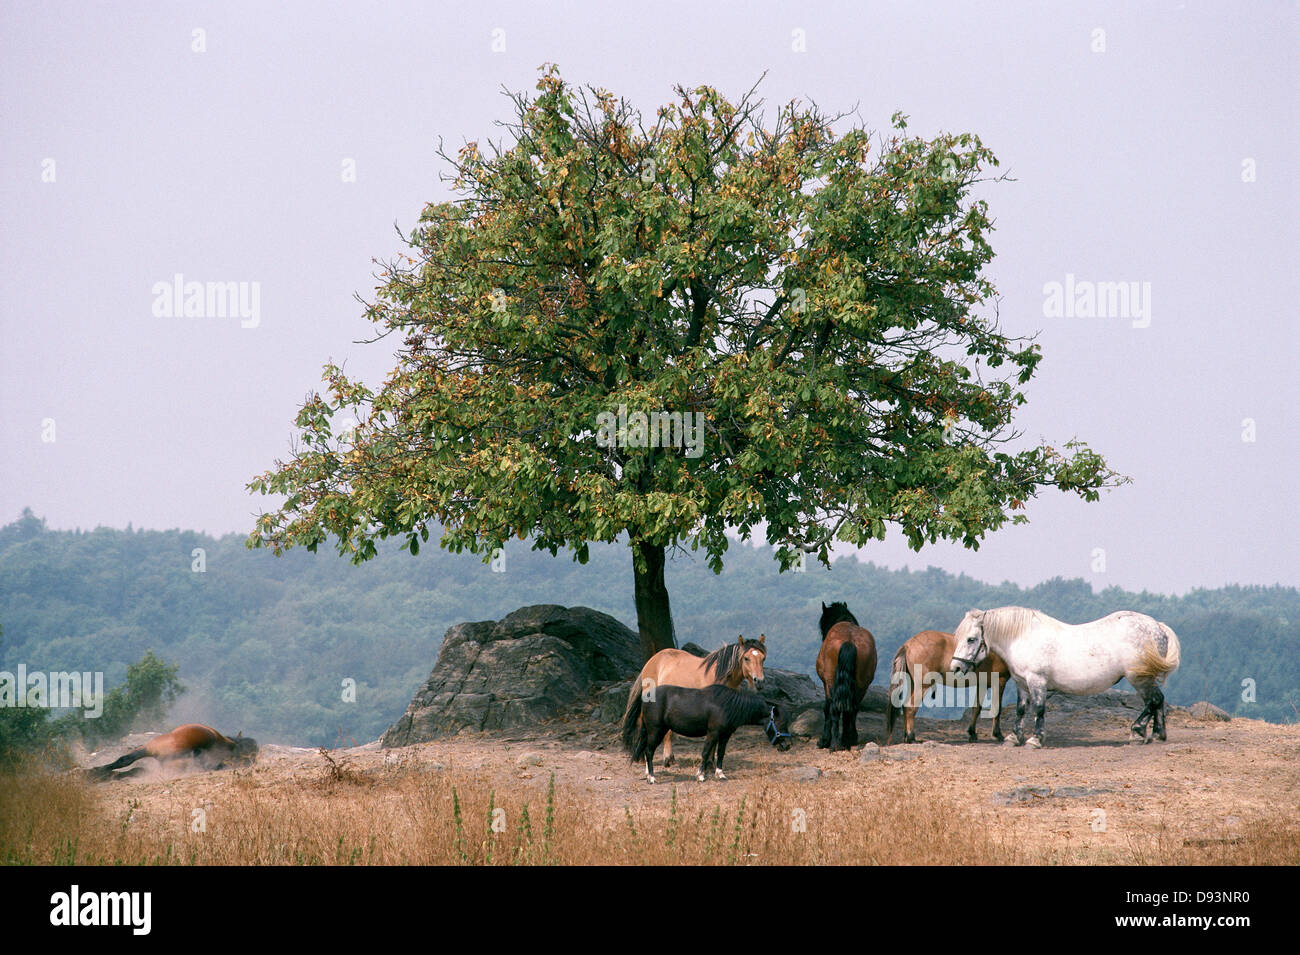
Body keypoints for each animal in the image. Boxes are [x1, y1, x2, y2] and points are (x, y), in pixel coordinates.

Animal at [621, 635, 767, 768]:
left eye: (763, 658)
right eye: (746, 658)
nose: (759, 681)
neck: (718, 676)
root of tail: (652, 661)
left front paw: (711, 763)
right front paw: (709, 764)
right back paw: (657, 759)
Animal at [623, 683, 792, 784]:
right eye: (781, 724)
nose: (788, 746)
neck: (727, 705)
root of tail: (646, 695)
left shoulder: (725, 735)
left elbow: (720, 753)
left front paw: (720, 774)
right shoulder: (713, 733)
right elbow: (705, 753)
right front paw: (701, 775)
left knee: (646, 750)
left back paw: (648, 774)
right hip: (656, 730)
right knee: (649, 751)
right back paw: (651, 777)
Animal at [816, 602, 878, 751]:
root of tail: (849, 641)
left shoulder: (826, 684)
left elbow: (827, 709)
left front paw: (824, 740)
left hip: (832, 683)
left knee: (835, 709)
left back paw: (835, 743)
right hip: (861, 685)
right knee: (852, 709)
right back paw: (848, 739)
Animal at [885, 630, 1013, 744]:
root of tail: (909, 644)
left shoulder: (982, 684)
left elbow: (976, 708)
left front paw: (972, 733)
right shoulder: (999, 681)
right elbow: (997, 708)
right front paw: (998, 734)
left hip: (913, 684)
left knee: (905, 706)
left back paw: (906, 737)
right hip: (922, 685)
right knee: (910, 707)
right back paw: (911, 737)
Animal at [950, 607, 1181, 748]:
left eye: (971, 639)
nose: (956, 667)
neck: (1023, 637)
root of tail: (1157, 627)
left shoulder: (1037, 681)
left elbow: (1039, 709)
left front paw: (1035, 739)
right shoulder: (1021, 684)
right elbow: (1021, 710)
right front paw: (1014, 737)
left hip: (1139, 678)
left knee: (1153, 701)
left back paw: (1137, 731)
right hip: (1145, 678)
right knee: (1157, 700)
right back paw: (1157, 734)